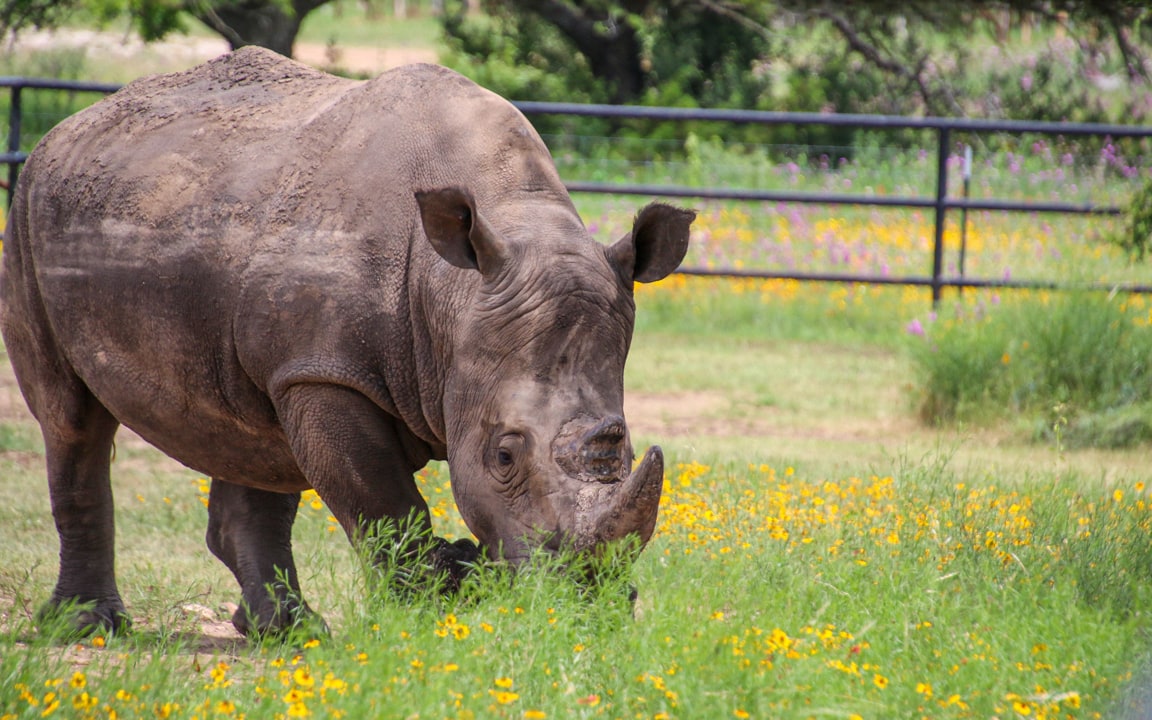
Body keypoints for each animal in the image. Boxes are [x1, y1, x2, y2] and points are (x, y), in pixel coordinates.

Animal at [0, 47, 694, 636]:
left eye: (624, 444)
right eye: (502, 457)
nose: (587, 604)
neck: (454, 292)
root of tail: (68, 127)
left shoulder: (315, 363)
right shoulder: (327, 370)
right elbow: (382, 502)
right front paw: (434, 613)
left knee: (259, 436)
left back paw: (289, 634)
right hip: (31, 212)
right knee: (71, 420)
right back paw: (89, 628)